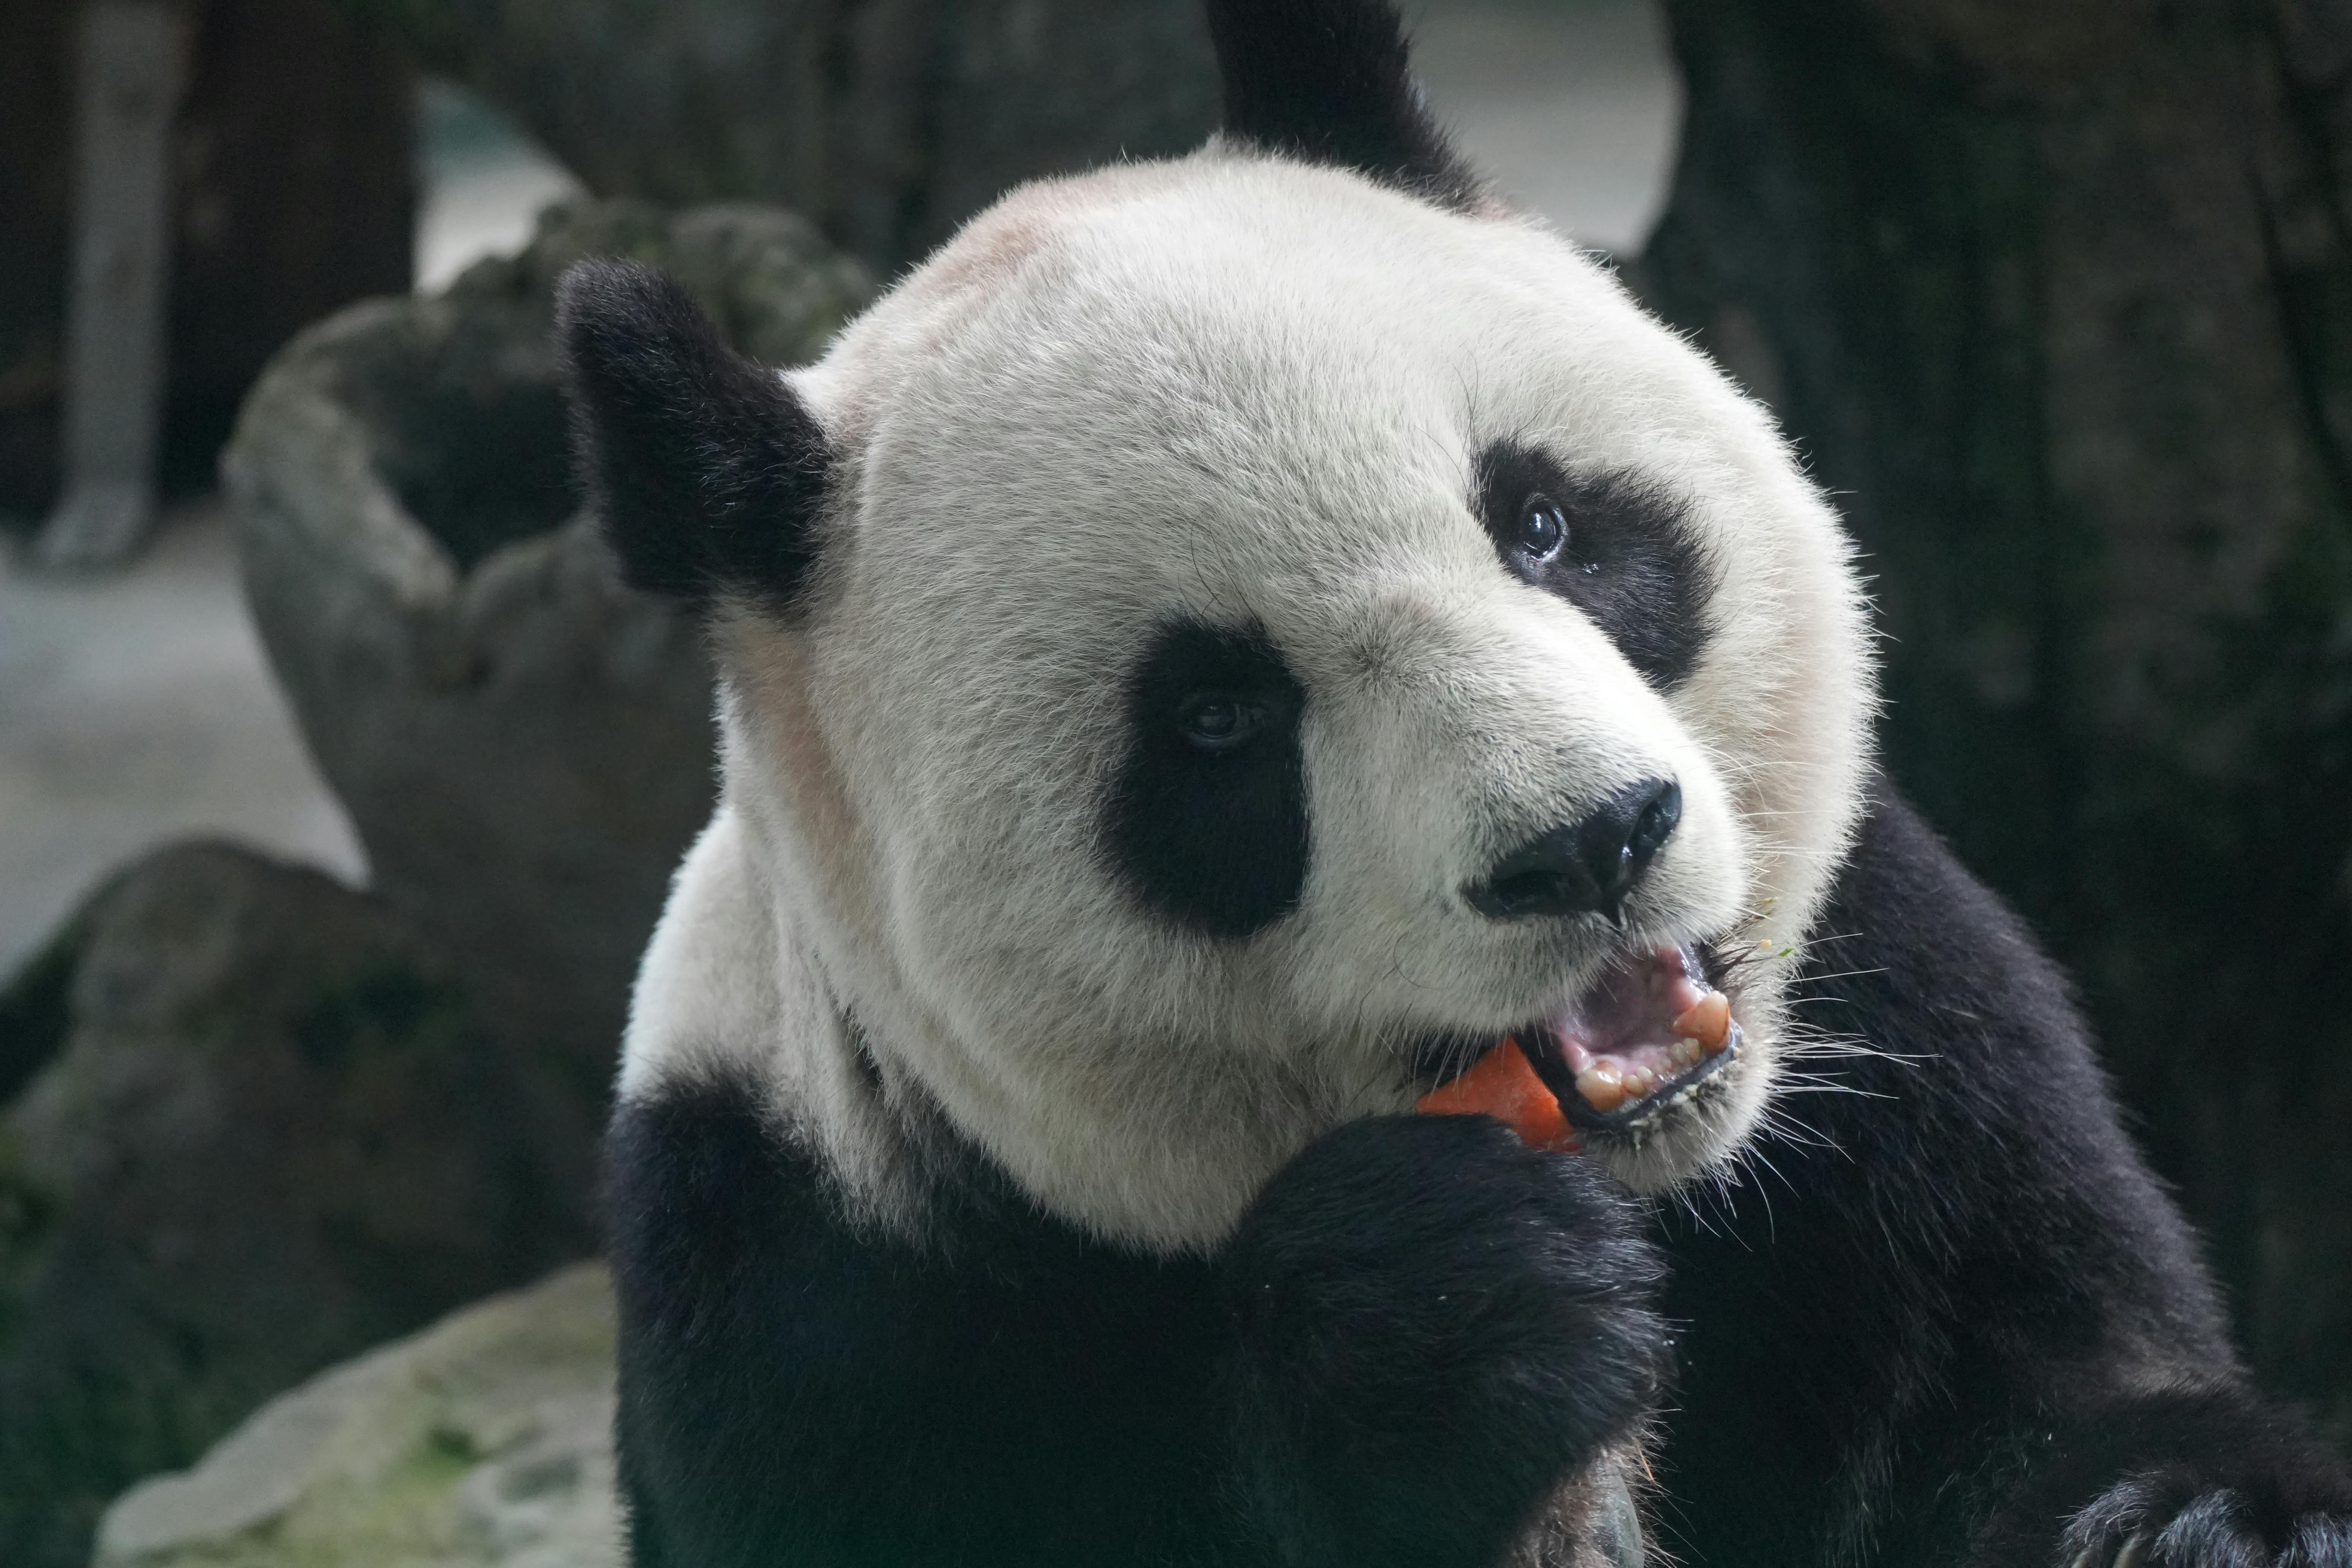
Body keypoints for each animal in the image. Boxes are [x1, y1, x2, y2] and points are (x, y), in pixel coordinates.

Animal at [558, 2, 2352, 1564]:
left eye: (1541, 523)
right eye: (1216, 719)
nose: (1590, 844)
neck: (1663, 1184)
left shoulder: (1897, 1043)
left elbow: (2045, 1377)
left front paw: (2206, 1517)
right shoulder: (795, 1263)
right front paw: (1449, 1318)